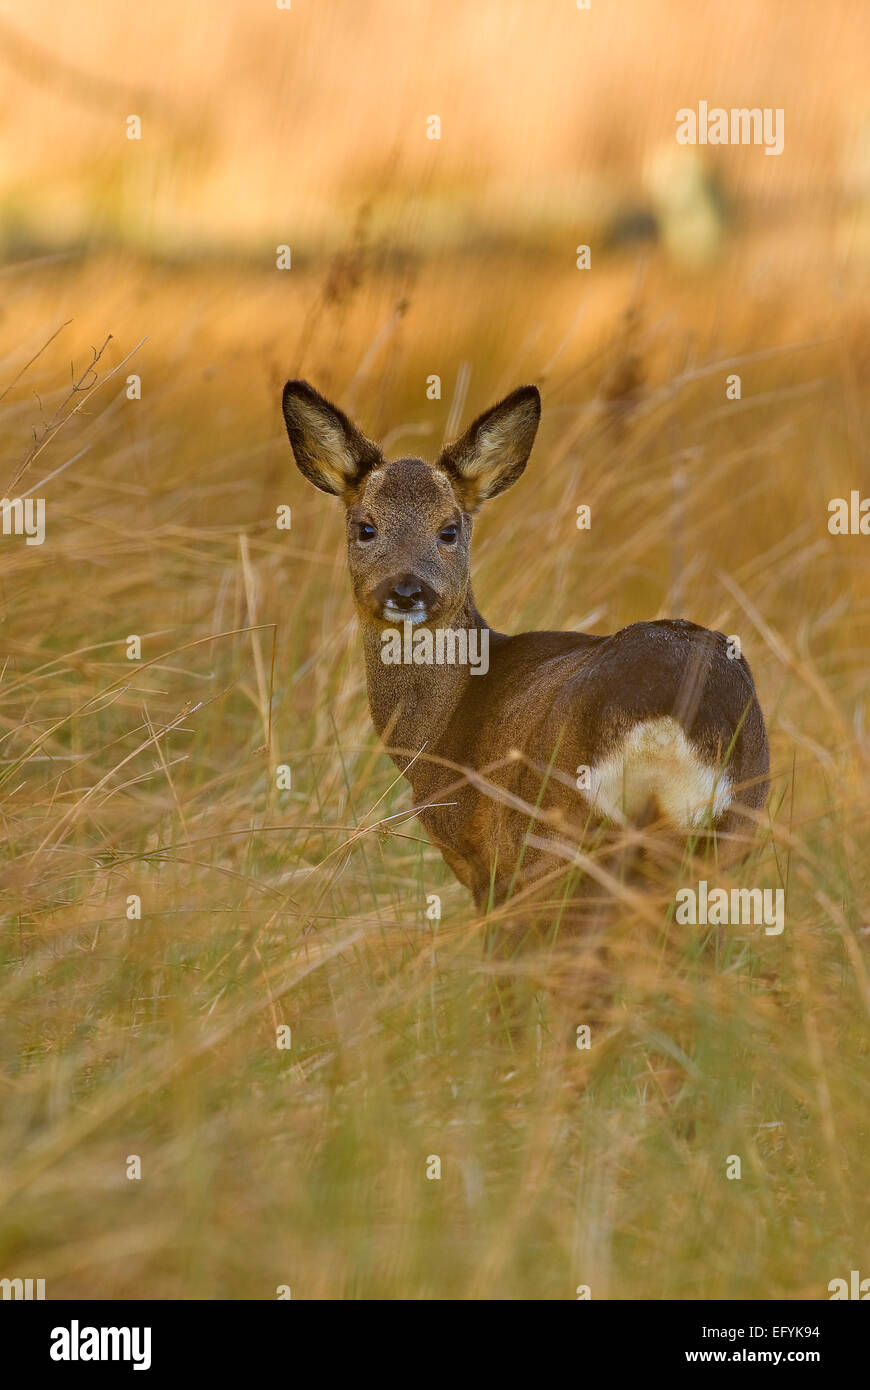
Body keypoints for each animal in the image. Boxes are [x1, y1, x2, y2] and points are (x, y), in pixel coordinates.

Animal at [281, 379, 770, 959]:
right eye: (365, 528)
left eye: (449, 530)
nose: (406, 590)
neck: (443, 725)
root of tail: (668, 720)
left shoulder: (483, 858)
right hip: (726, 836)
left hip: (558, 835)